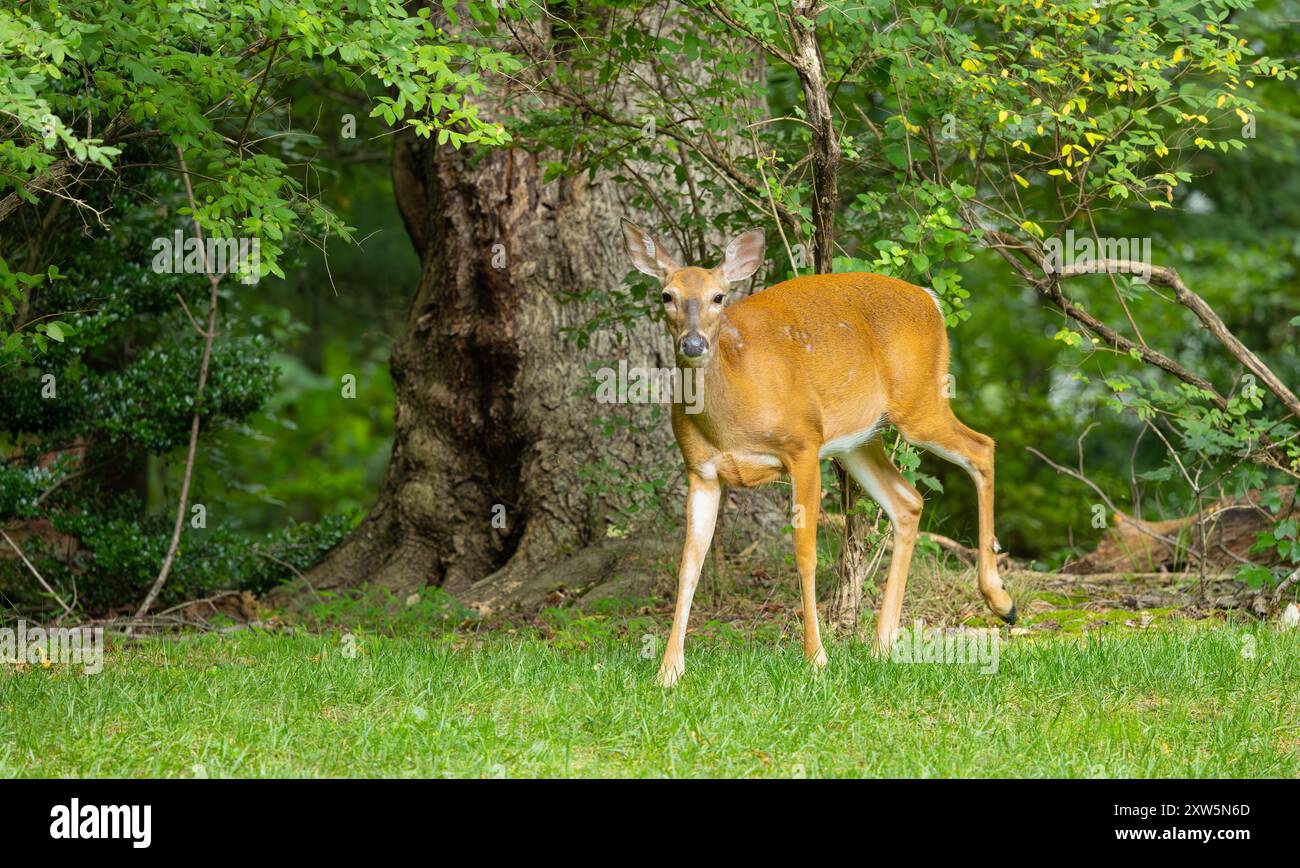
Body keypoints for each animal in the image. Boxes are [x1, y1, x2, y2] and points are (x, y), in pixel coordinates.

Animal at [620, 219, 1016, 687]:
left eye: (719, 296)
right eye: (667, 295)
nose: (694, 344)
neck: (731, 413)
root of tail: (931, 300)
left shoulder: (803, 446)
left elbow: (805, 555)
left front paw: (816, 658)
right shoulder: (700, 470)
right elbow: (689, 564)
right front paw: (669, 671)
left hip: (918, 401)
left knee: (982, 447)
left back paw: (1001, 601)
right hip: (858, 439)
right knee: (908, 501)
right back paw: (882, 644)